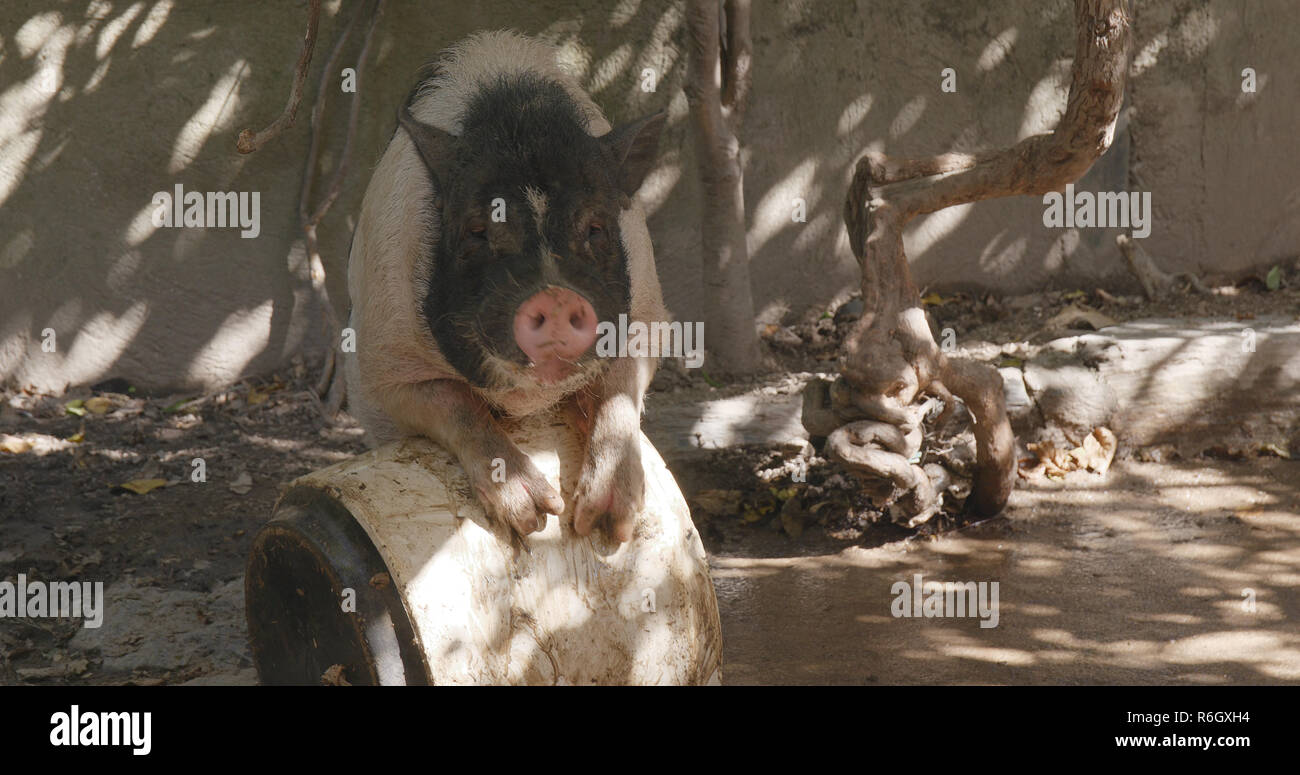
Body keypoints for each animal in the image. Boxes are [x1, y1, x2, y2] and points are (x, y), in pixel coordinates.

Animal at [343, 31, 668, 543]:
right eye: (477, 230)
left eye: (595, 227)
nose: (555, 295)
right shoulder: (377, 364)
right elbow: (456, 403)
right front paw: (538, 519)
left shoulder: (648, 317)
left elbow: (617, 391)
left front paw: (602, 528)